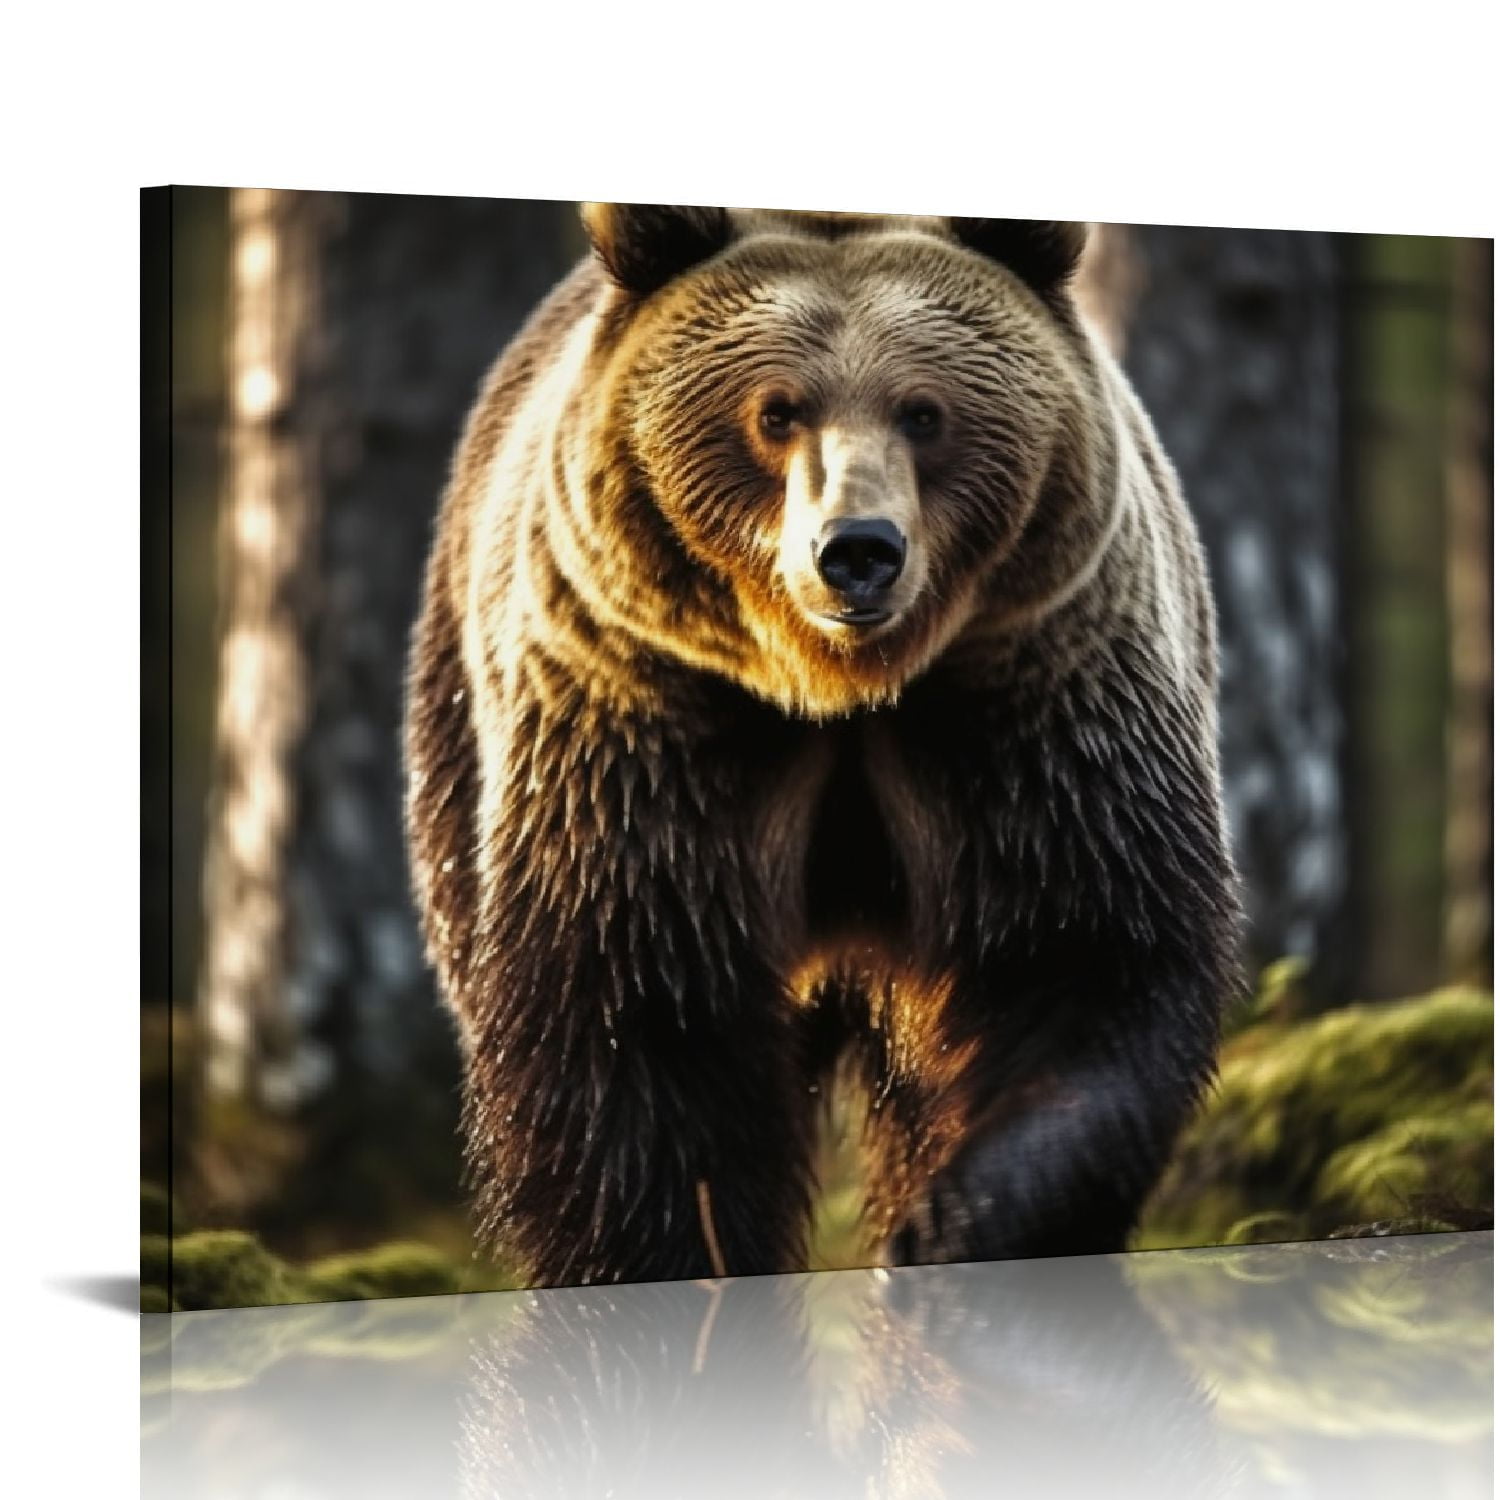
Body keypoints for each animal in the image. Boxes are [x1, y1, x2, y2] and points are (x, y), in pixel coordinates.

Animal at [403, 203, 1242, 1289]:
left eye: (924, 411)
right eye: (776, 412)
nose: (857, 551)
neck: (844, 693)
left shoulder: (1029, 708)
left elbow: (1082, 959)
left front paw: (949, 1227)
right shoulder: (657, 729)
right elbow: (641, 1022)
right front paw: (676, 1261)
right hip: (458, 735)